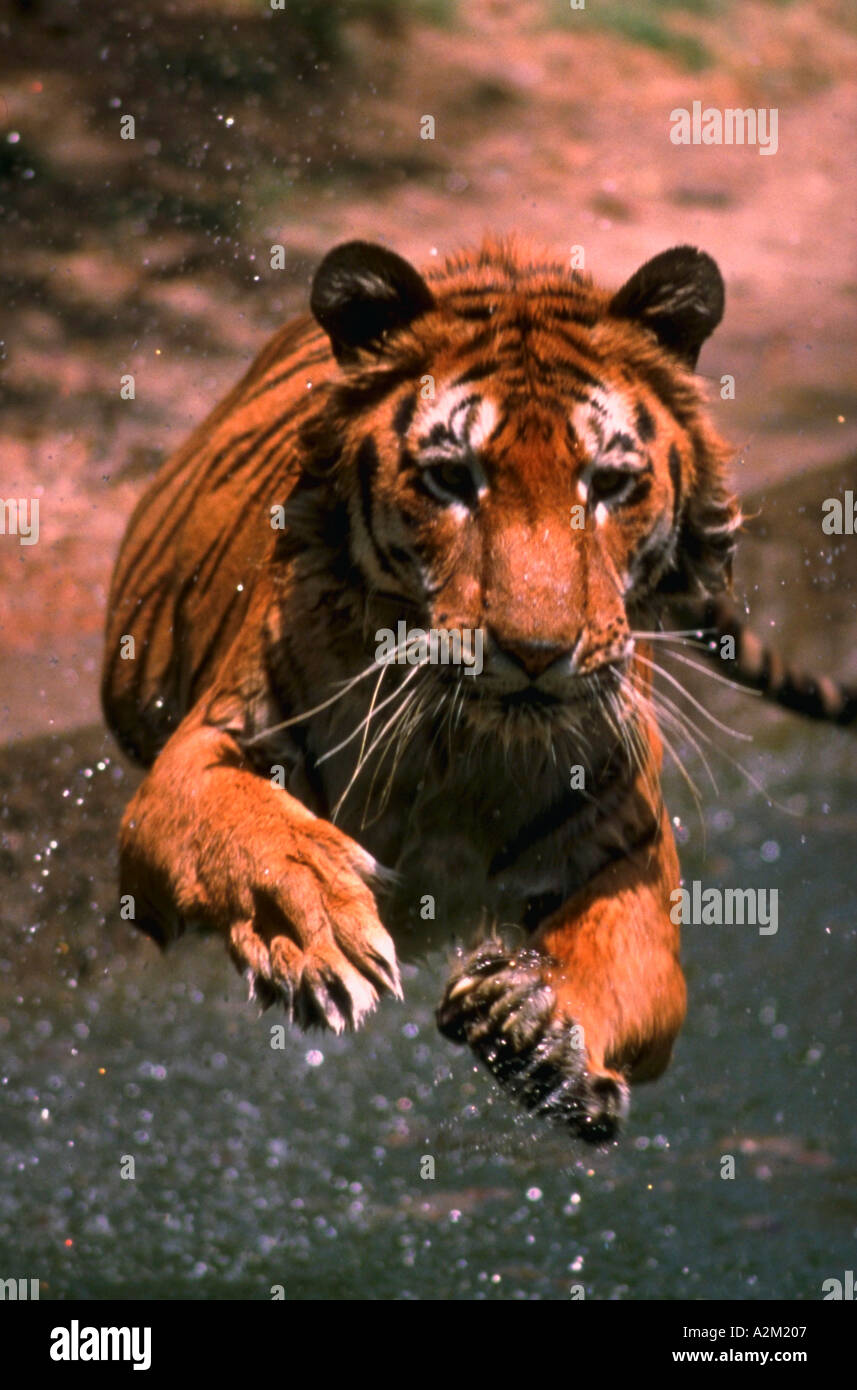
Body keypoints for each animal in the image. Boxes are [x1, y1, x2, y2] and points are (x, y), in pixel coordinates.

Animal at [101, 237, 857, 1143]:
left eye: (609, 484)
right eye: (450, 480)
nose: (535, 652)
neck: (465, 752)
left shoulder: (631, 849)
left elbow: (623, 957)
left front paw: (538, 1019)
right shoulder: (200, 756)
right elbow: (249, 829)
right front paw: (320, 933)